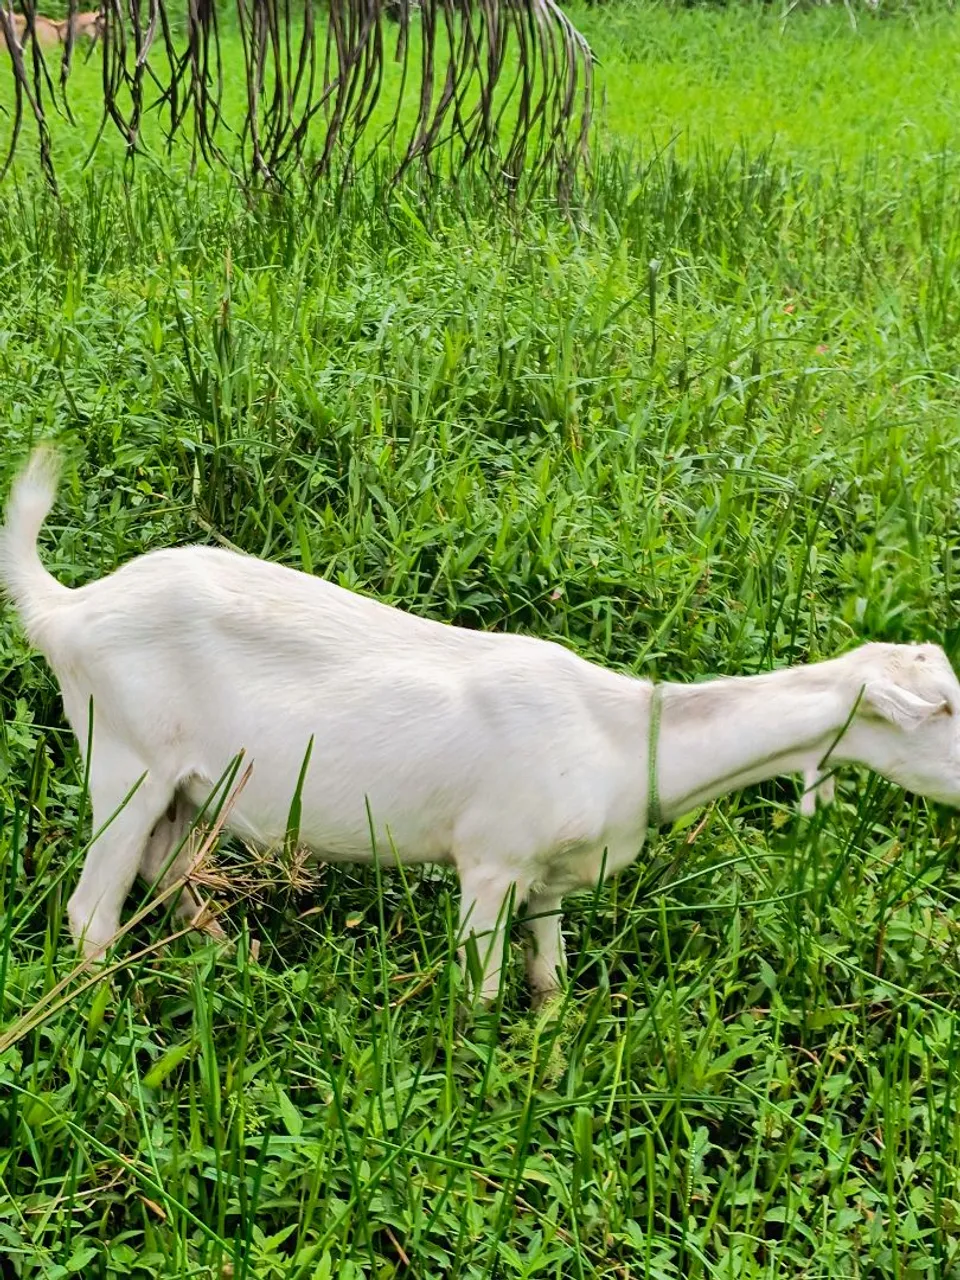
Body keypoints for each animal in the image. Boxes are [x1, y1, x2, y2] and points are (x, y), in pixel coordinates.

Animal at [2, 446, 960, 1004]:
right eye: (943, 713)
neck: (624, 736)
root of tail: (70, 610)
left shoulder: (550, 874)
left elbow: (549, 977)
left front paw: (547, 1051)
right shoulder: (491, 863)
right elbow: (485, 991)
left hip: (185, 781)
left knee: (165, 868)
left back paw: (229, 959)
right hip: (123, 755)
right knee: (92, 912)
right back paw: (103, 1012)